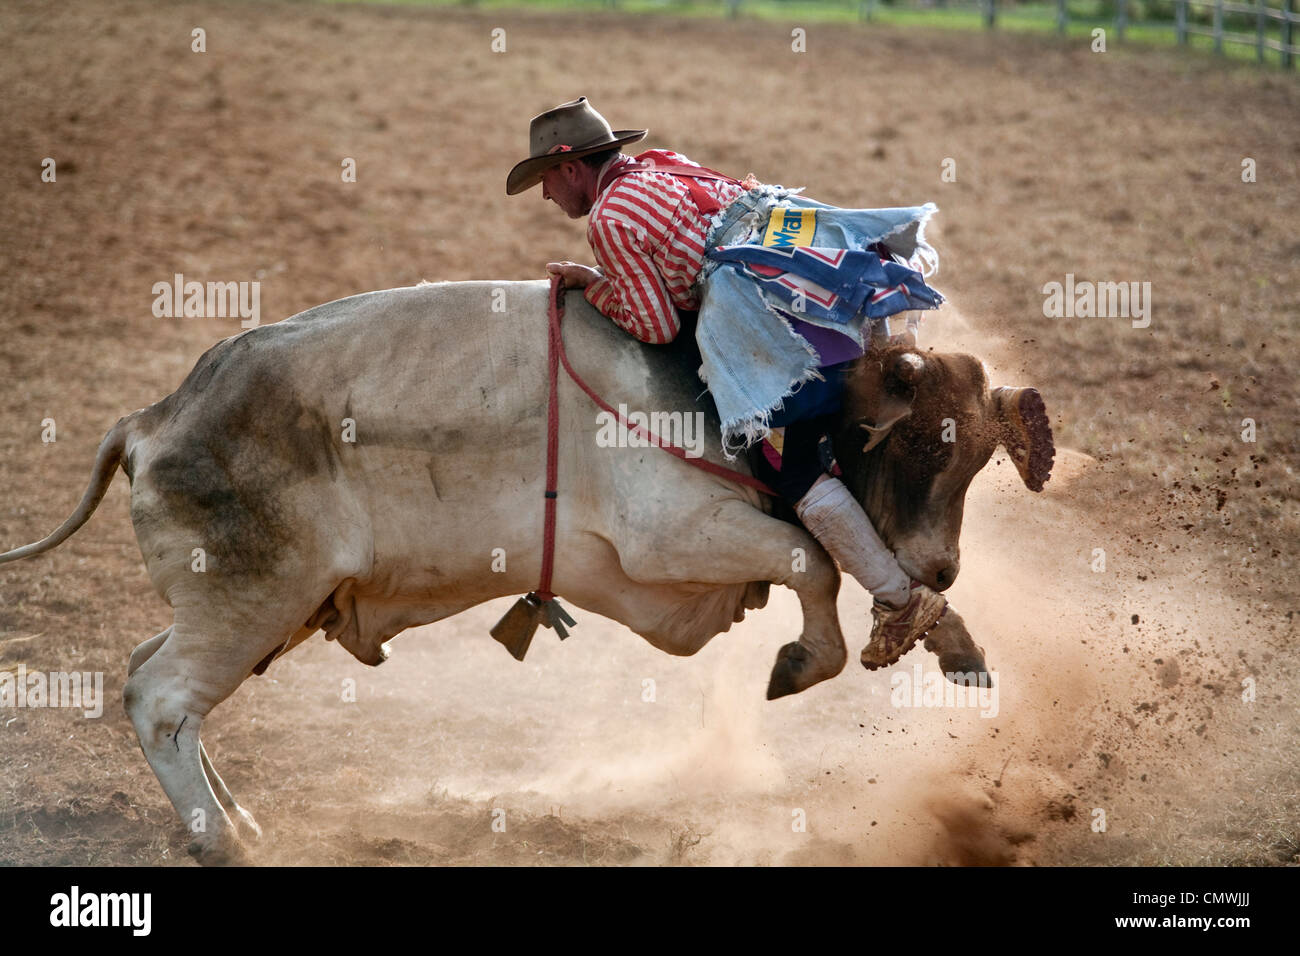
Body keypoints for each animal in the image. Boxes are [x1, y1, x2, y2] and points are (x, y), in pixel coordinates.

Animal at [0, 279, 1053, 865]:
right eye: (915, 445)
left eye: (977, 461)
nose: (940, 566)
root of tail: (155, 417)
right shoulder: (669, 539)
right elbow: (813, 564)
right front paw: (809, 660)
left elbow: (823, 562)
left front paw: (942, 637)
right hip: (246, 602)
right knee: (159, 699)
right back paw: (221, 842)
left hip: (260, 610)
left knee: (152, 671)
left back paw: (239, 821)